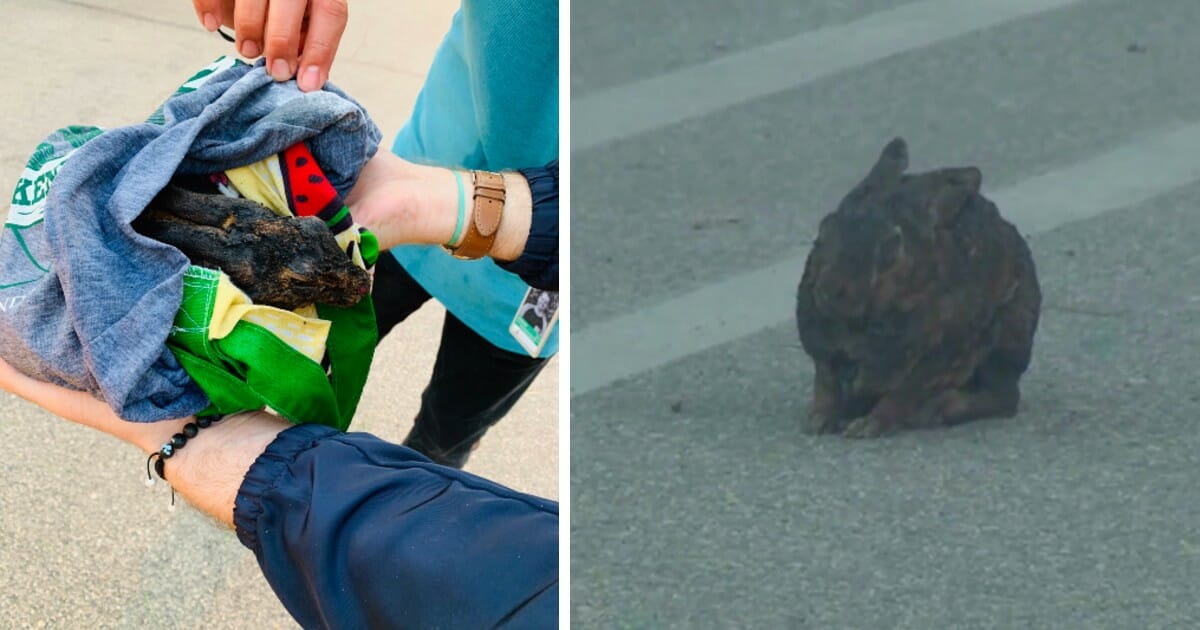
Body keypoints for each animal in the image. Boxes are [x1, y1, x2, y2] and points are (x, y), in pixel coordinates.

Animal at [795, 137, 1041, 438]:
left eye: (891, 246)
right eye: (823, 230)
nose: (831, 289)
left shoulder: (938, 354)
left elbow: (904, 392)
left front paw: (868, 426)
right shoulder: (825, 360)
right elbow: (827, 386)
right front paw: (820, 420)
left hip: (1006, 341)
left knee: (1004, 396)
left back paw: (937, 409)